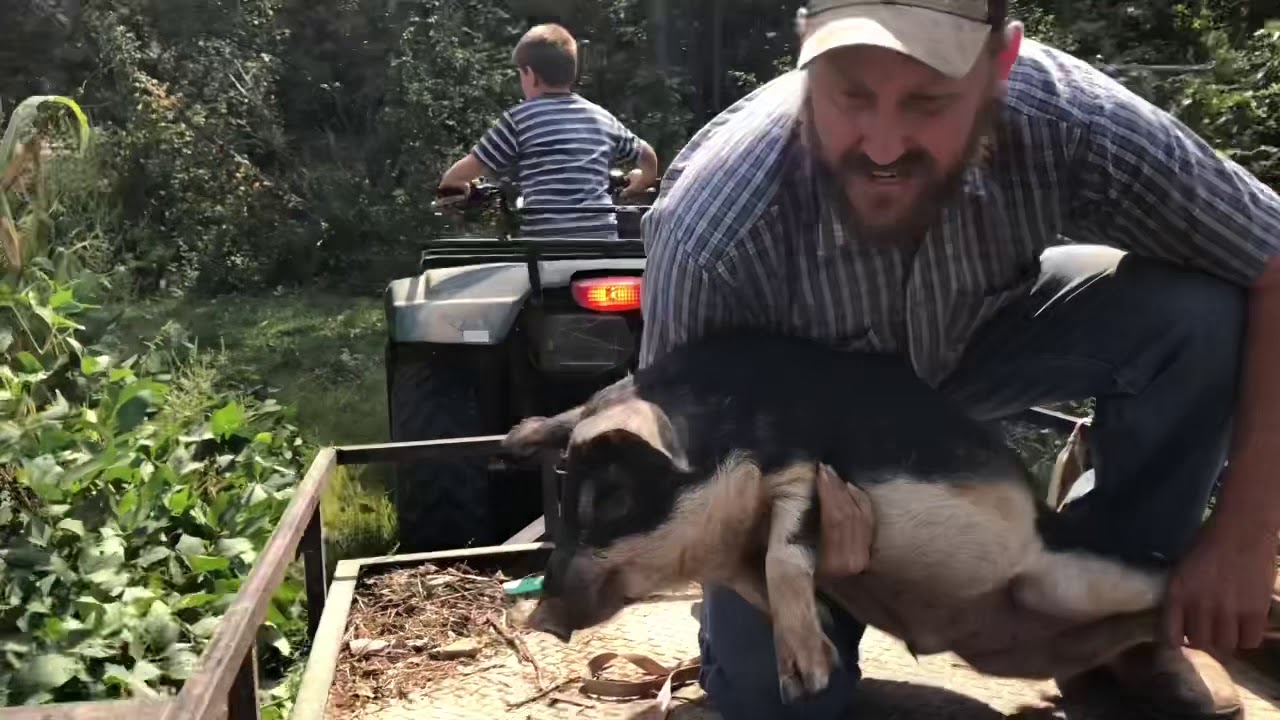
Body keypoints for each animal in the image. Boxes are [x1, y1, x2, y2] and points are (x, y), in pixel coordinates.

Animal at [500, 332, 1169, 703]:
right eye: (566, 498)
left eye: (610, 499)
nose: (540, 619)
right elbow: (755, 580)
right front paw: (822, 645)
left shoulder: (808, 471)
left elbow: (784, 555)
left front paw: (807, 679)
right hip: (1016, 653)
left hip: (1073, 576)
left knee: (1152, 580)